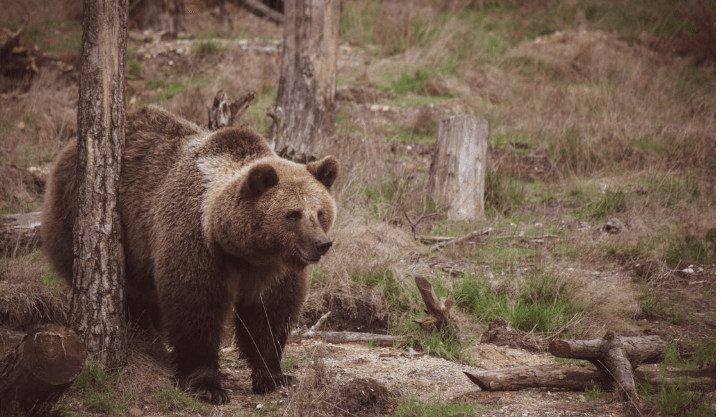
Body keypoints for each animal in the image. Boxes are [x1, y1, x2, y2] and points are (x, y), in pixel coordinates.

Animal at [42, 105, 339, 404]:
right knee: (132, 294)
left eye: (320, 212)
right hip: (85, 219)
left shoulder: (273, 271)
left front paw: (274, 376)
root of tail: (68, 149)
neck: (243, 251)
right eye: (293, 214)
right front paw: (206, 385)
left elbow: (269, 316)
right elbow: (195, 307)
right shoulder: (197, 243)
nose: (322, 243)